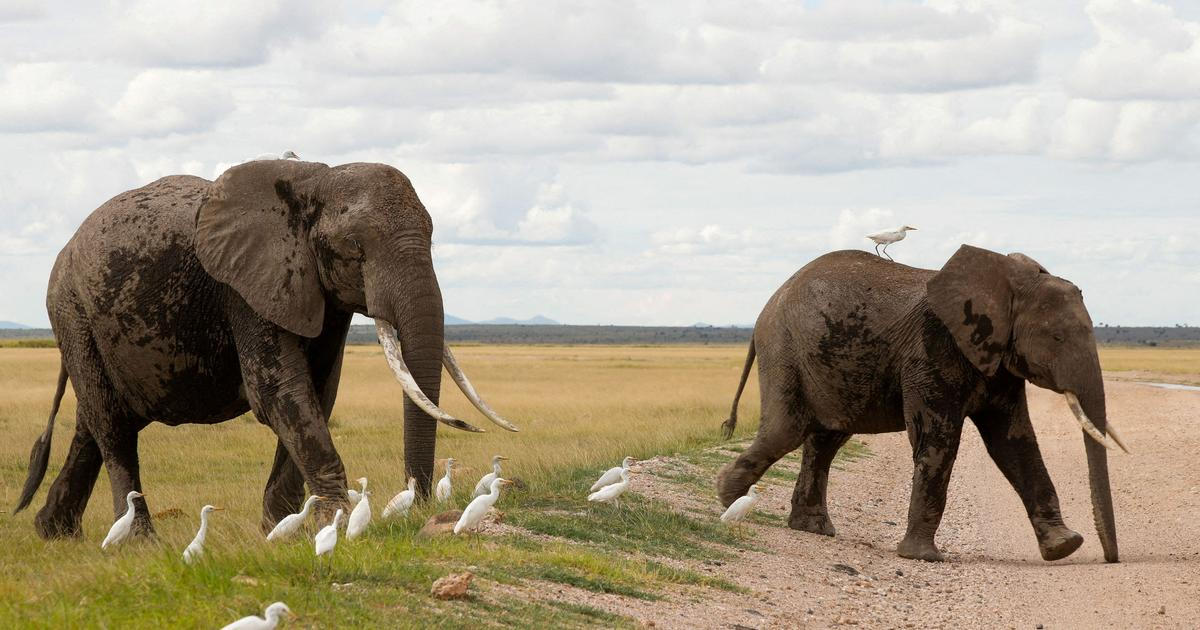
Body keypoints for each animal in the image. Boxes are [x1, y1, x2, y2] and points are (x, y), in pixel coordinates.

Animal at [13, 158, 518, 539]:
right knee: (112, 425)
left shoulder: (317, 291)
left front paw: (280, 532)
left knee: (94, 422)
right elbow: (279, 393)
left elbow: (318, 392)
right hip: (71, 309)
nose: (420, 504)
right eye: (355, 247)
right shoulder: (244, 289)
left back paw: (53, 533)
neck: (313, 181)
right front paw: (329, 523)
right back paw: (138, 542)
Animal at [716, 246, 1126, 563]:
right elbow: (938, 439)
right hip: (783, 347)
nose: (1111, 558)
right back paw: (729, 498)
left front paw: (1064, 547)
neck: (1006, 282)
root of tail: (769, 303)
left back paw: (813, 528)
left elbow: (1014, 442)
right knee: (787, 429)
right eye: (1056, 337)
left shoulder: (998, 360)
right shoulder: (932, 348)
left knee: (825, 439)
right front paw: (923, 557)